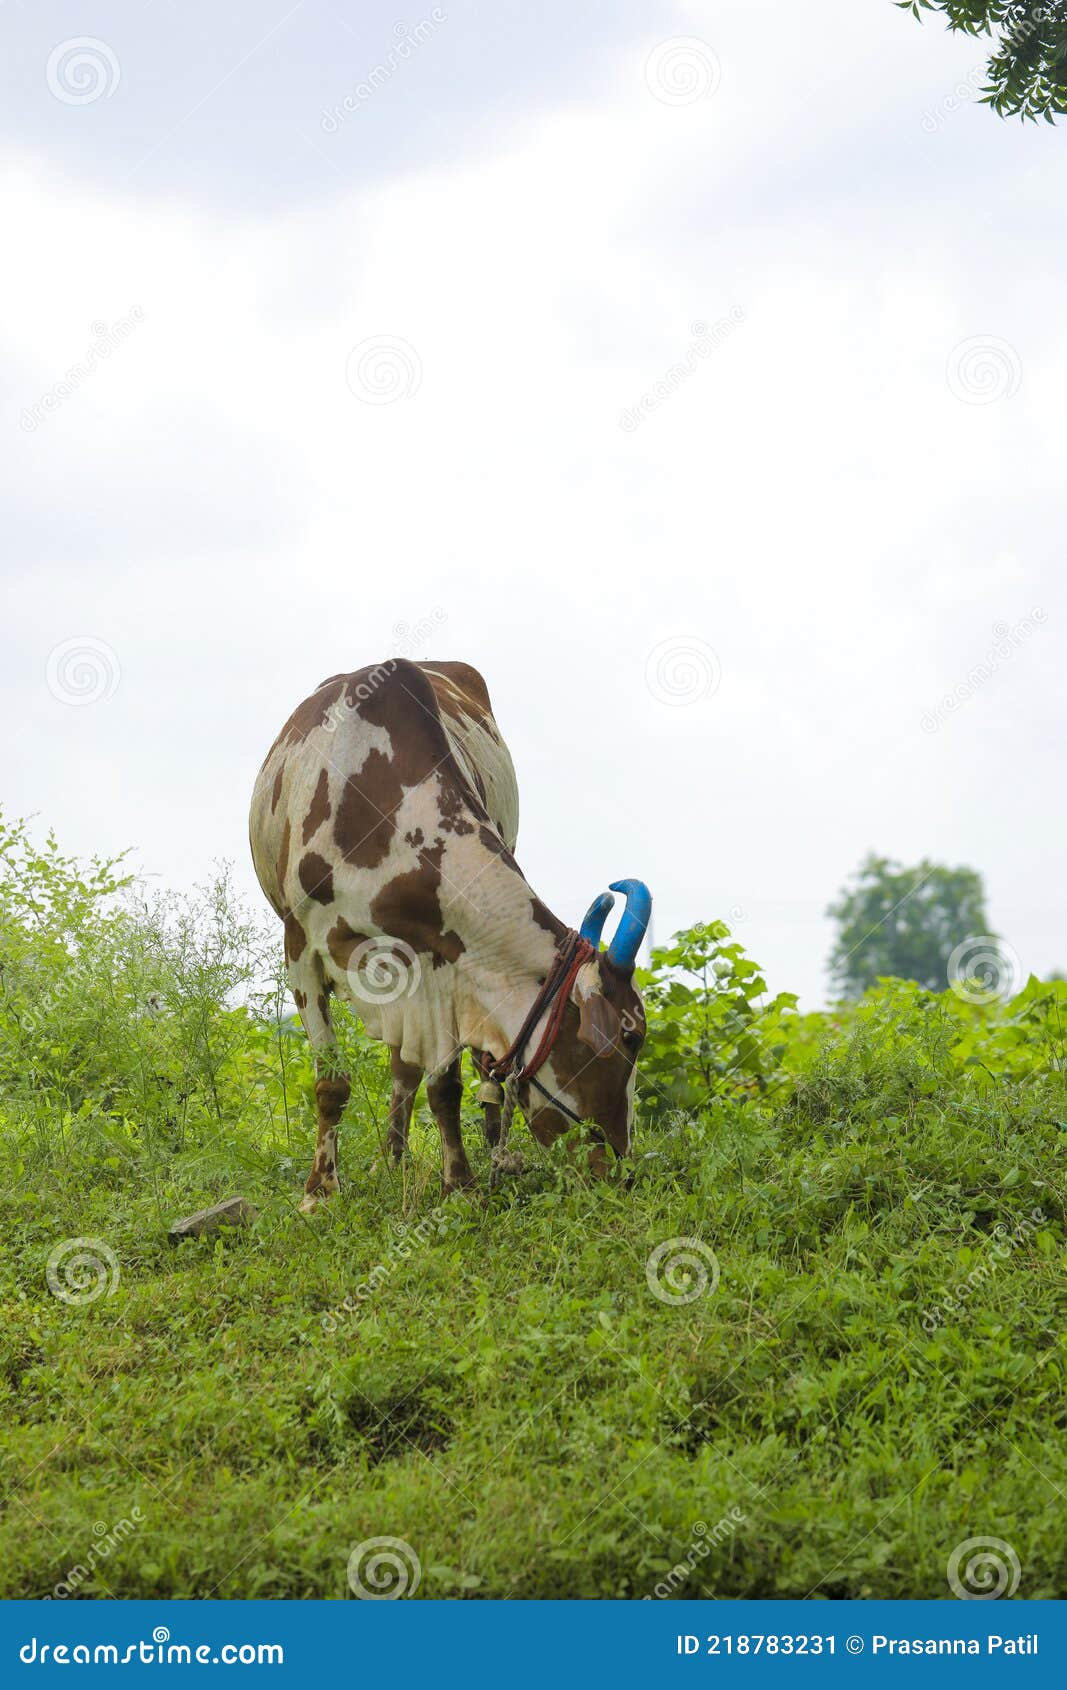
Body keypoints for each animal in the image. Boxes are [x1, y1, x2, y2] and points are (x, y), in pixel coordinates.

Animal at [249, 659, 650, 1209]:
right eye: (631, 1038)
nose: (621, 1165)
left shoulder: (443, 969)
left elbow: (444, 1086)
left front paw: (459, 1182)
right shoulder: (300, 950)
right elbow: (331, 1083)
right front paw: (320, 1191)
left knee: (423, 1070)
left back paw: (475, 1150)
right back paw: (390, 1159)